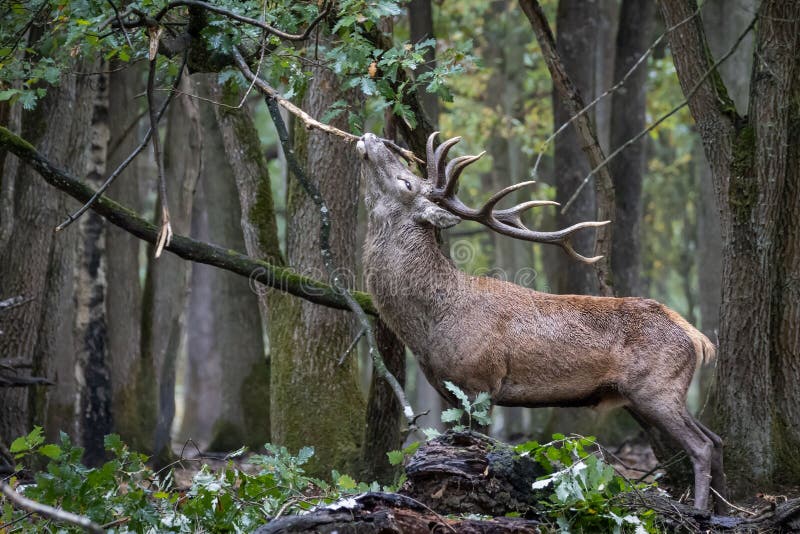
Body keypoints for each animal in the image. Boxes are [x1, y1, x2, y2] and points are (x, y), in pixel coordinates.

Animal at [356, 131, 726, 511]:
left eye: (407, 182)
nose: (372, 137)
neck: (431, 325)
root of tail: (696, 337)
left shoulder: (481, 381)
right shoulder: (449, 388)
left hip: (656, 388)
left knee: (701, 445)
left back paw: (700, 511)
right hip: (664, 390)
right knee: (717, 440)